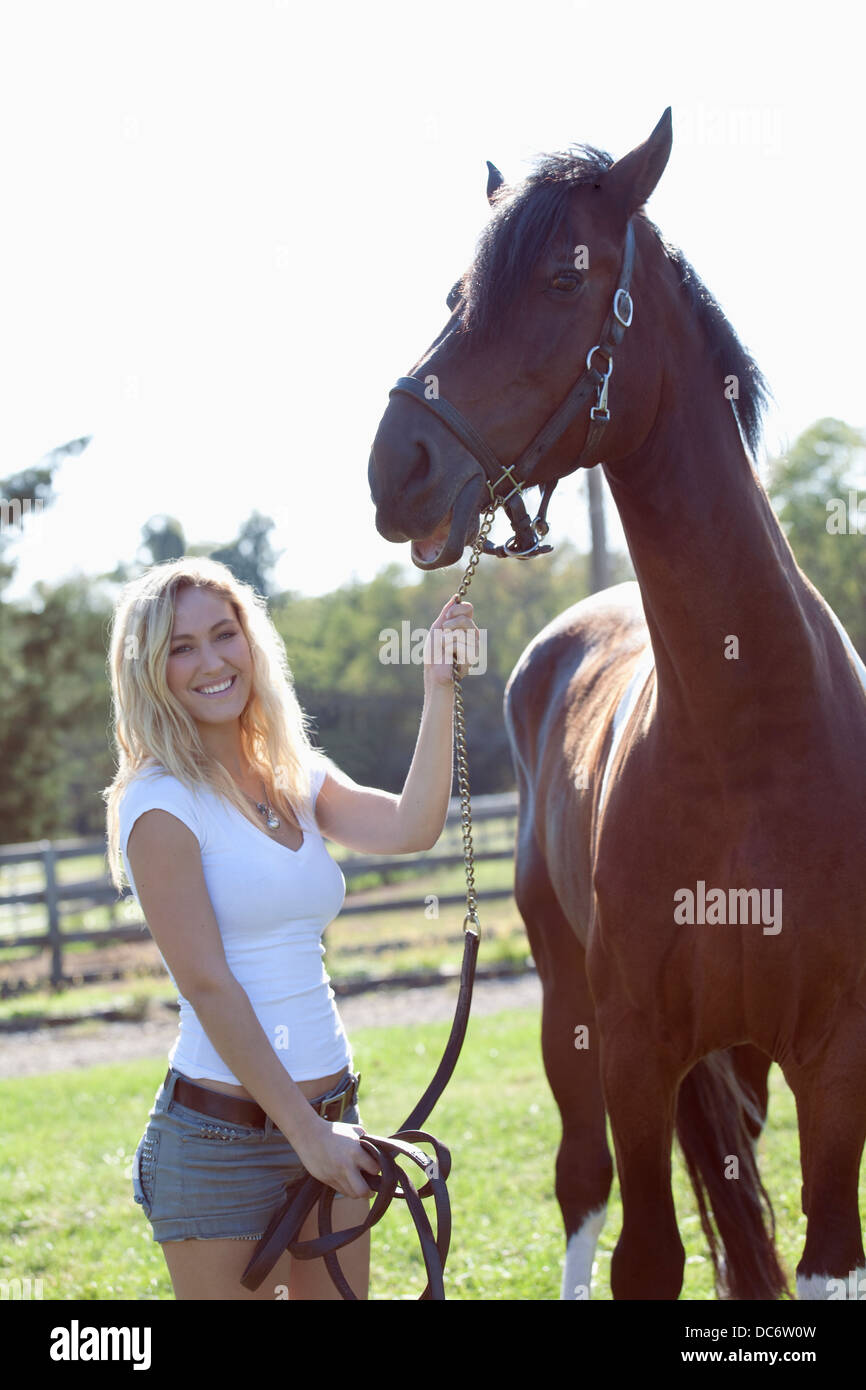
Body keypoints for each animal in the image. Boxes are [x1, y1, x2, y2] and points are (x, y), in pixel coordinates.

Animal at [366, 109, 866, 1301]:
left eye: (563, 274)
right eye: (456, 292)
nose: (395, 466)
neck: (747, 737)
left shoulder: (839, 1060)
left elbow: (824, 1250)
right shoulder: (635, 1050)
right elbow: (643, 1252)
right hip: (568, 1018)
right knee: (582, 1192)